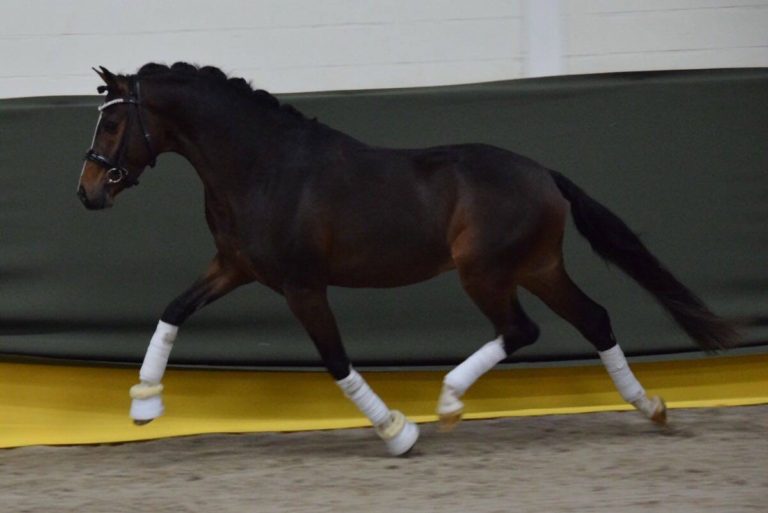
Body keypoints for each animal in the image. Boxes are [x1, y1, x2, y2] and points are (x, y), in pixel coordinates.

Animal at [77, 62, 739, 456]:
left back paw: (448, 402)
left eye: (111, 125)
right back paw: (652, 408)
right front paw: (145, 404)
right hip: (538, 268)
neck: (265, 168)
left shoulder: (301, 286)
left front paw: (398, 431)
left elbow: (335, 360)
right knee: (594, 319)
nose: (87, 192)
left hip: (484, 272)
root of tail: (543, 174)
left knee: (520, 329)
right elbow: (173, 310)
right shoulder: (236, 268)